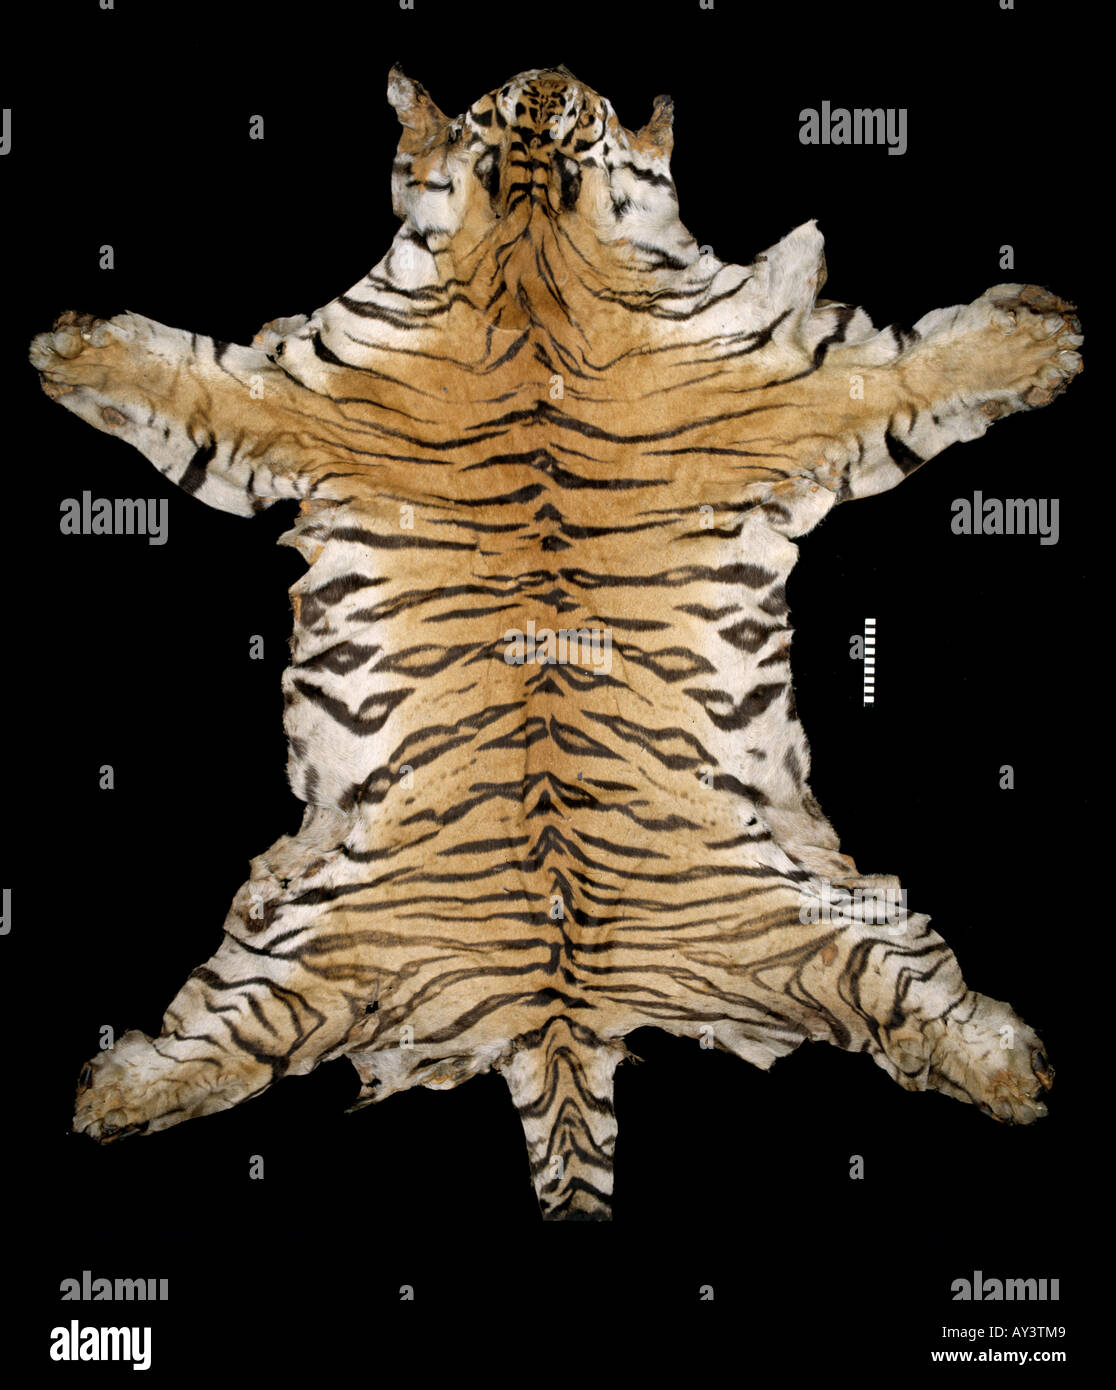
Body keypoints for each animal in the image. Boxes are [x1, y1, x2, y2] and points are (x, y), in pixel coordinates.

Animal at [30, 65, 1080, 1220]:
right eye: (500, 113)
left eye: (569, 118)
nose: (549, 76)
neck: (534, 263)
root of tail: (559, 1026)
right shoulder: (298, 398)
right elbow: (189, 379)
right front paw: (69, 348)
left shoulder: (794, 387)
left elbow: (914, 373)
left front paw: (1041, 340)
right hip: (320, 969)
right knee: (228, 1046)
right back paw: (118, 1092)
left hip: (816, 938)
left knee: (913, 1010)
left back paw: (1010, 1069)